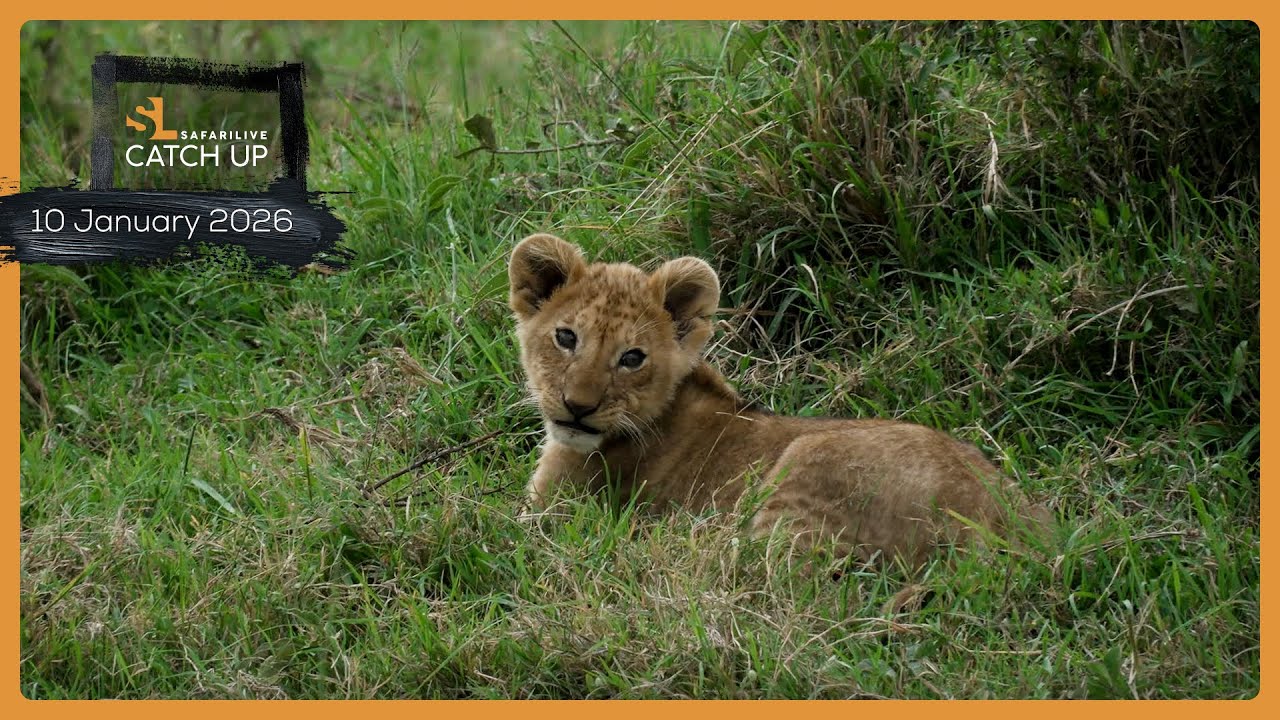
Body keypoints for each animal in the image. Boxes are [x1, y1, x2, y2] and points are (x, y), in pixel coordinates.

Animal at [509, 233, 1050, 566]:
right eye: (566, 338)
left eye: (632, 357)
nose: (578, 406)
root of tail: (1008, 522)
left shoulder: (548, 517)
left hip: (800, 477)